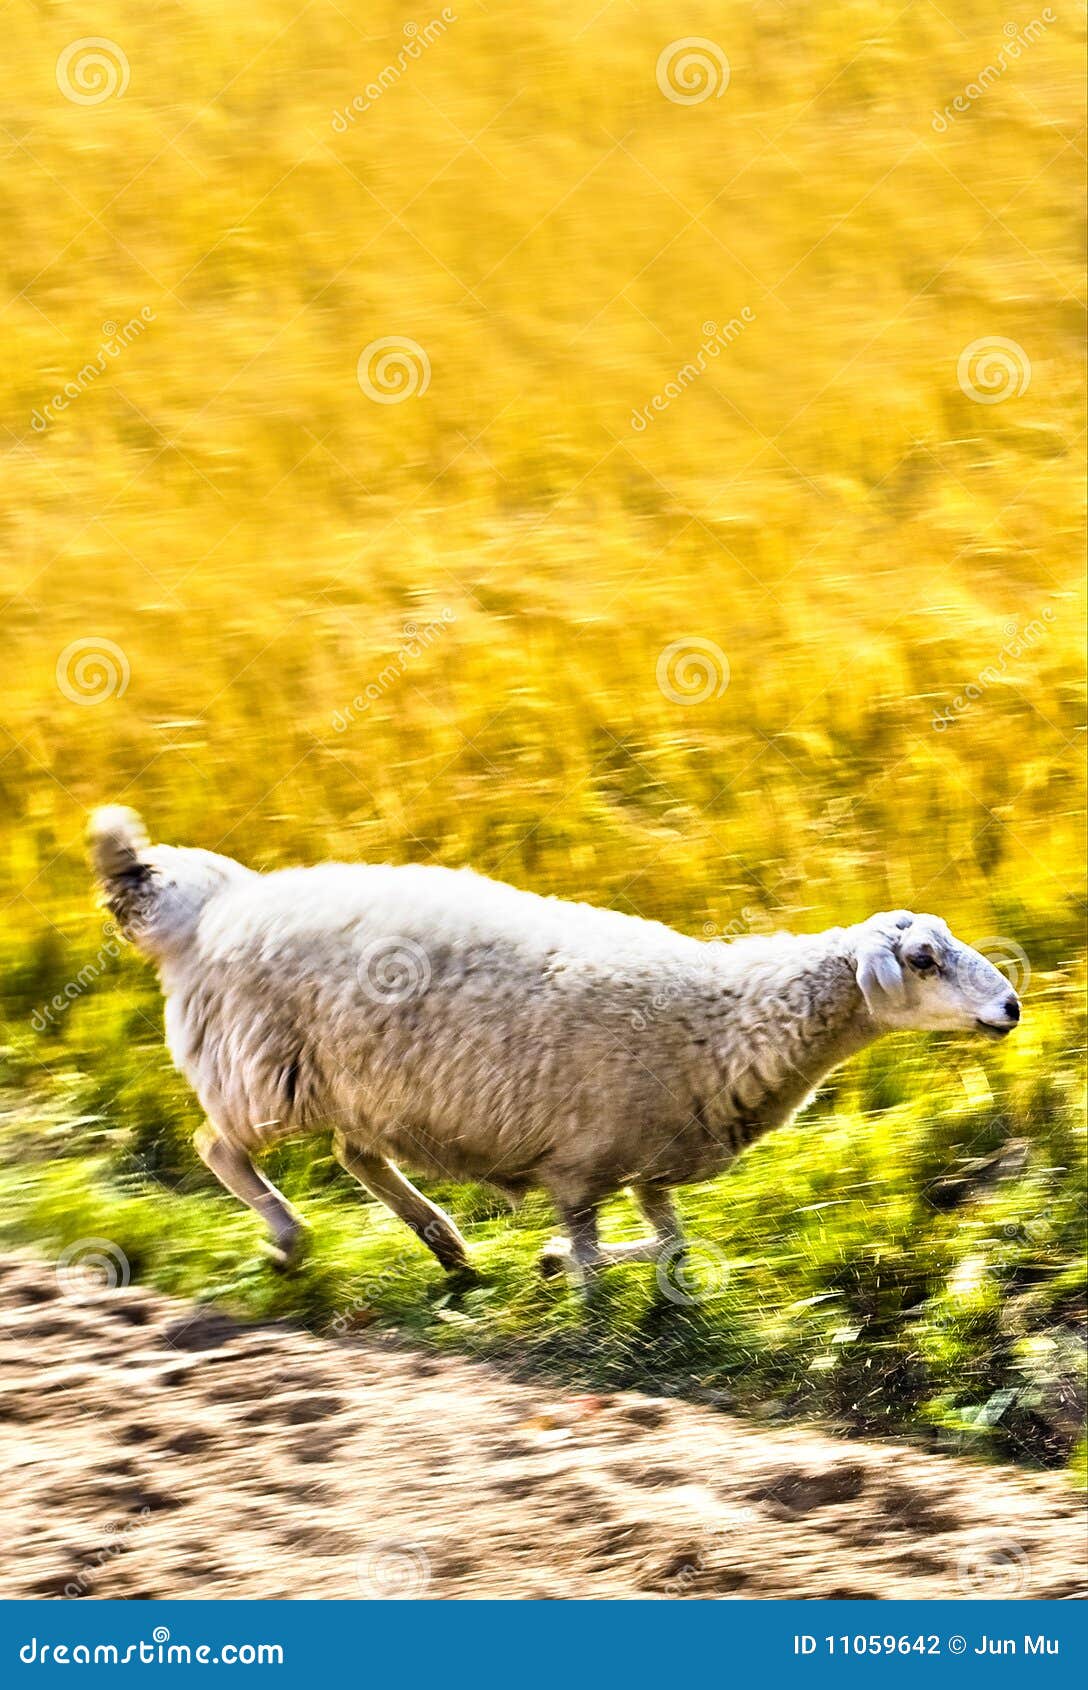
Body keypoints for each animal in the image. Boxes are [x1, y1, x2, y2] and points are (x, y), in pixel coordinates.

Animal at [87, 805, 1022, 1291]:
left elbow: (673, 1246)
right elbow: (593, 1263)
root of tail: (207, 908)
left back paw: (444, 1243)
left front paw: (562, 1261)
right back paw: (288, 1238)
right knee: (219, 1148)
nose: (1012, 1007)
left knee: (359, 1156)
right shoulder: (581, 1167)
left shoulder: (647, 1166)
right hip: (258, 1075)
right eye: (923, 959)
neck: (727, 1014)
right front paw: (575, 1284)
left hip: (356, 1084)